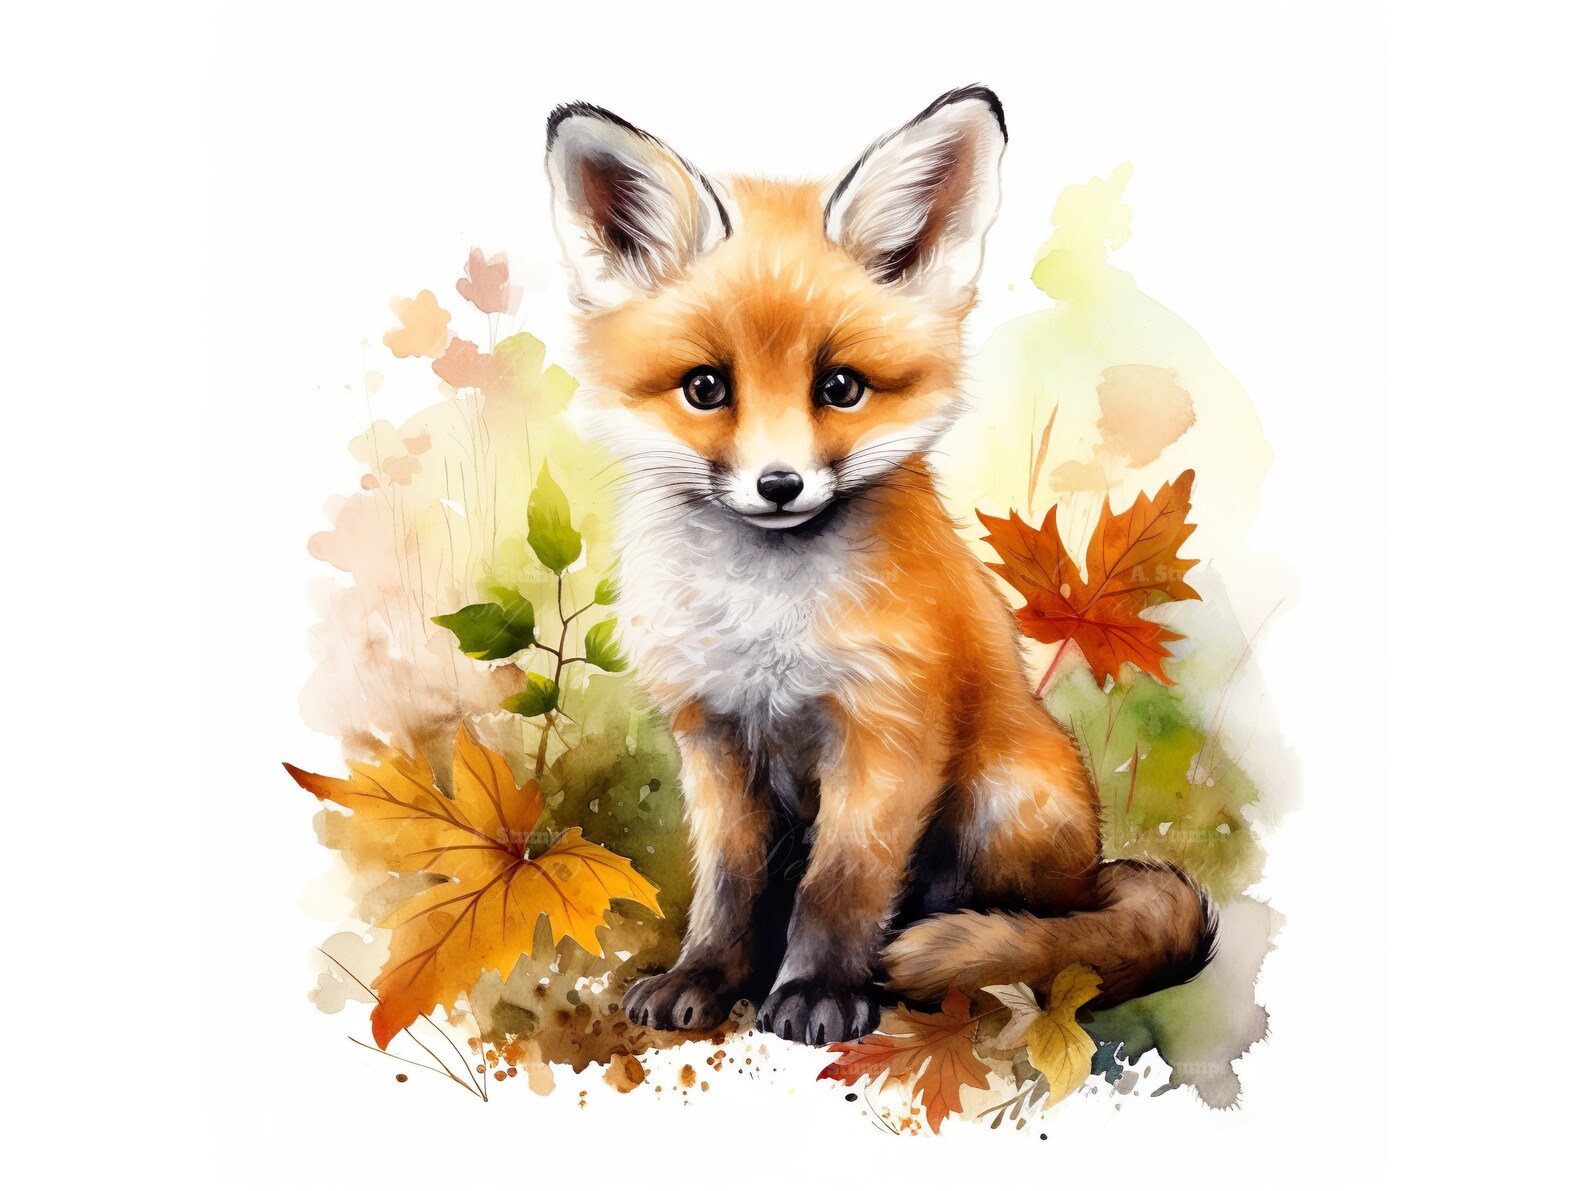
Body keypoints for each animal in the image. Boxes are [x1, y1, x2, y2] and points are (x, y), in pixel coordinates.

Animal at [543, 86, 1215, 1045]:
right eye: (706, 388)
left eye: (840, 387)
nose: (779, 484)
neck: (765, 618)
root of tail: (1096, 867)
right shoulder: (712, 734)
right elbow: (731, 887)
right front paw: (706, 976)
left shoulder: (886, 729)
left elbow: (843, 885)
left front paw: (820, 989)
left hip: (1006, 803)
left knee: (1032, 925)